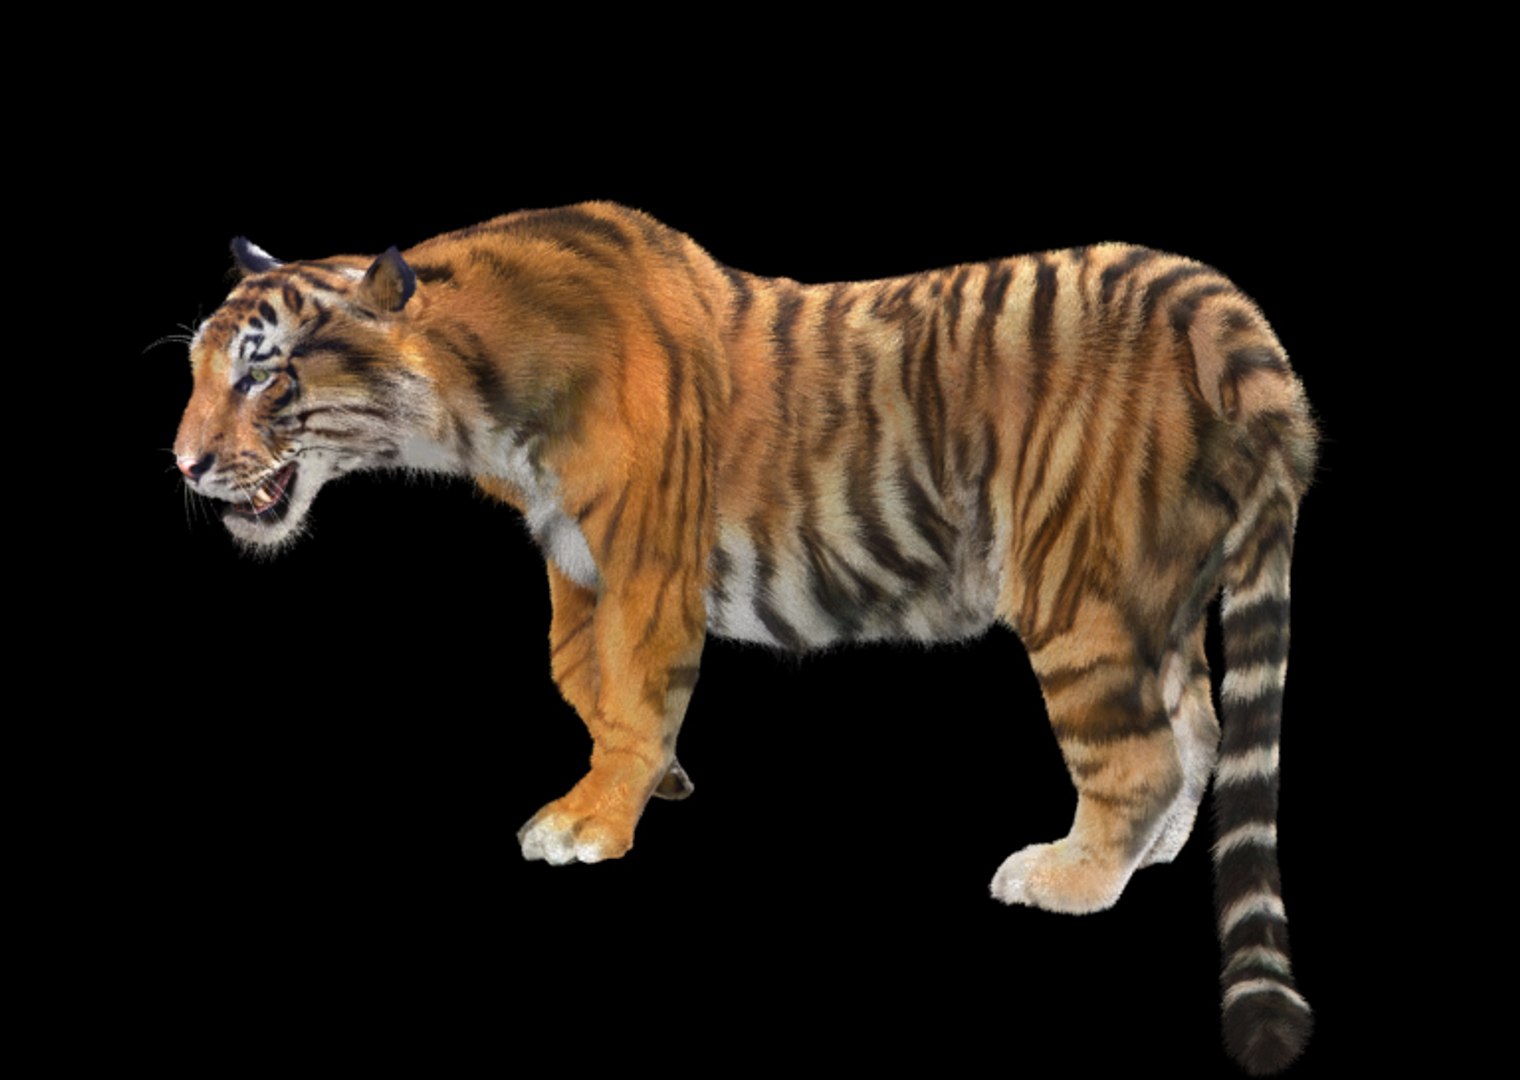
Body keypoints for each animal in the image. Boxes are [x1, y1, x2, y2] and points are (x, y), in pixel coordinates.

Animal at [173, 201, 1317, 1074]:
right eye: (197, 371)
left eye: (264, 375)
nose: (182, 464)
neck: (473, 400)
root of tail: (1216, 307)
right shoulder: (574, 562)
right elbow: (576, 675)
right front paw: (651, 780)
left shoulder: (646, 567)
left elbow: (633, 687)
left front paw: (590, 825)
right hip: (1160, 597)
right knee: (1195, 729)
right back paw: (1151, 854)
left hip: (1079, 591)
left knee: (1136, 752)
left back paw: (1066, 878)